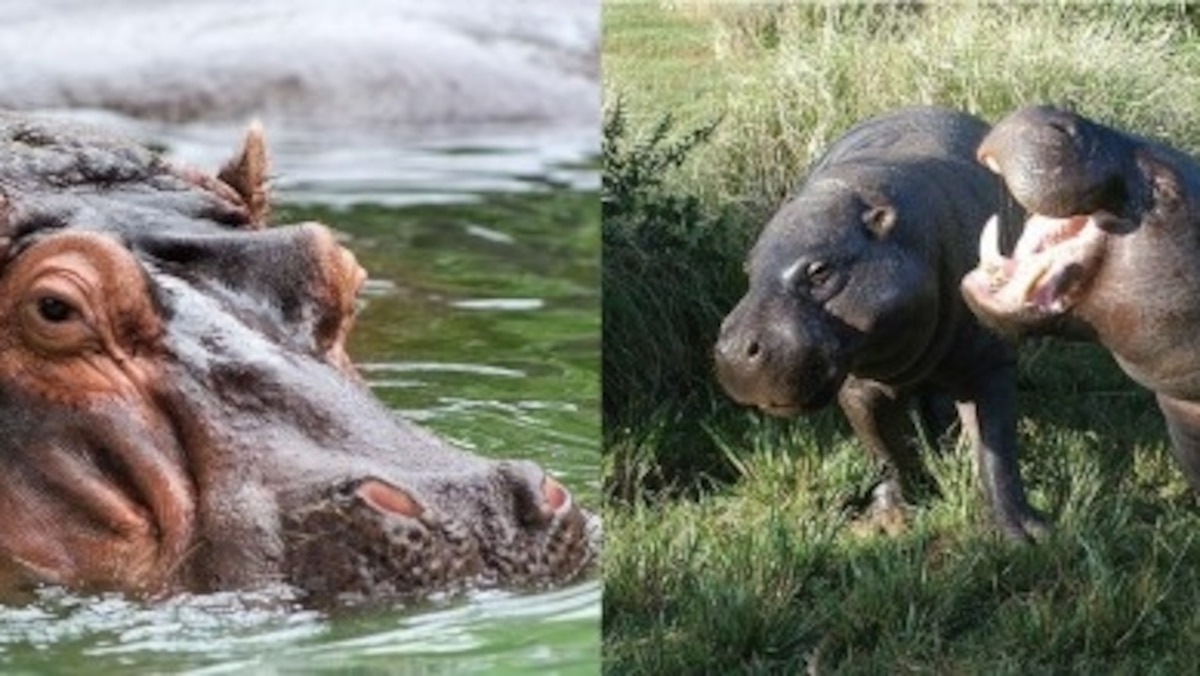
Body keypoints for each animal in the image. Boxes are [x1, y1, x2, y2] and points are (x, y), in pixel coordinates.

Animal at [714, 106, 1046, 540]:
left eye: (820, 271)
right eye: (748, 270)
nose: (734, 350)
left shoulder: (990, 363)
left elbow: (996, 452)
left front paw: (1026, 535)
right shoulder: (860, 385)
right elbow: (886, 451)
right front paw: (890, 521)